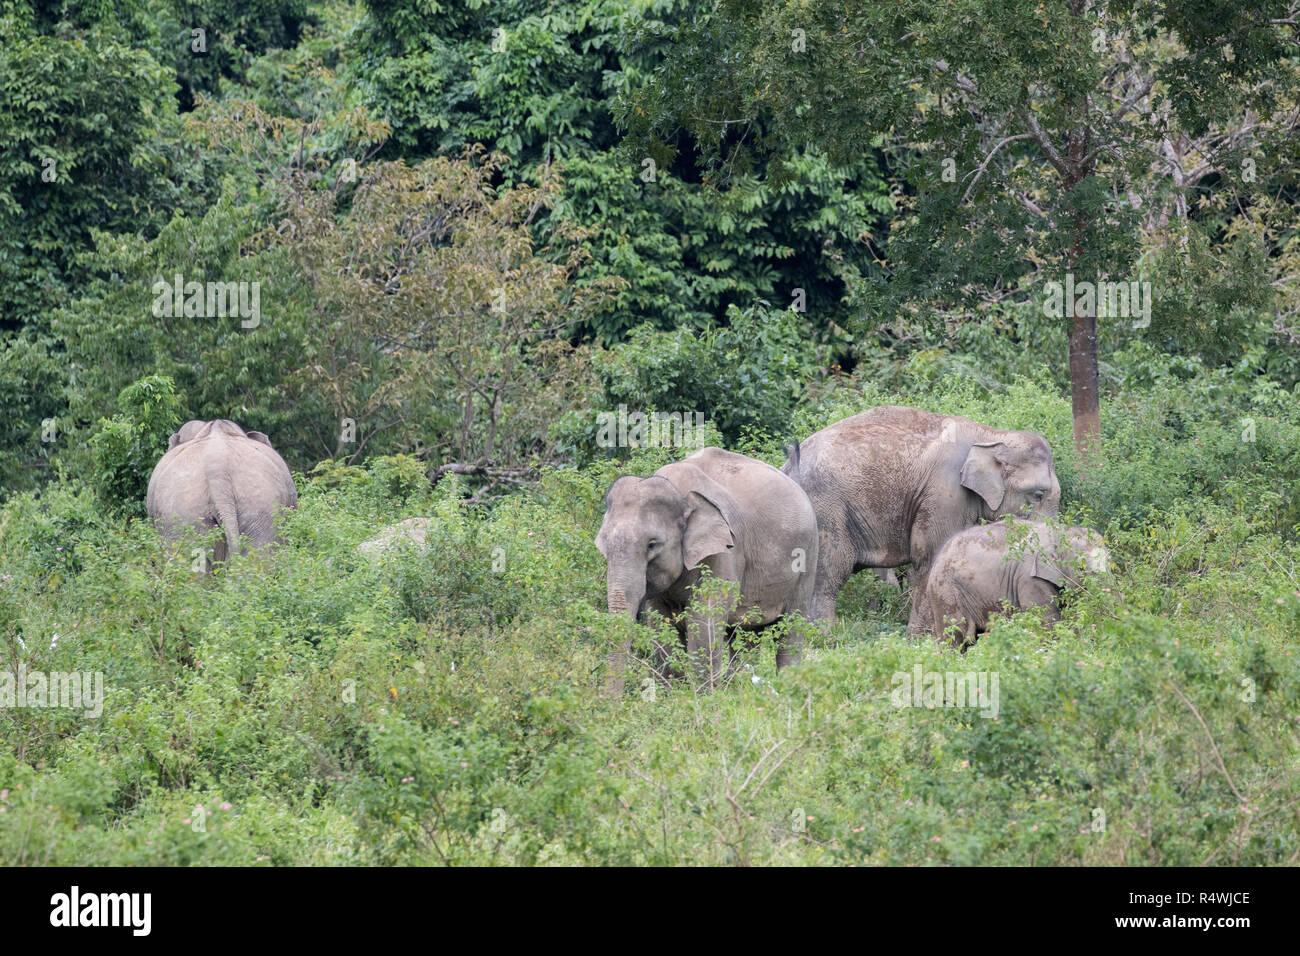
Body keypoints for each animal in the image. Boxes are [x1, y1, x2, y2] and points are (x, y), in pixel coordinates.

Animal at [595, 446, 819, 695]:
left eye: (652, 545)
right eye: (603, 545)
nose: (608, 700)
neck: (677, 489)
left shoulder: (725, 552)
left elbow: (705, 621)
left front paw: (702, 697)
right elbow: (659, 620)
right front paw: (672, 694)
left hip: (809, 555)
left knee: (791, 628)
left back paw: (790, 687)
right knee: (746, 633)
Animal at [782, 405, 1061, 632]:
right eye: (1038, 494)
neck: (990, 435)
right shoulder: (945, 494)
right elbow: (930, 555)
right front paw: (921, 638)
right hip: (826, 508)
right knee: (829, 570)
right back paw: (821, 637)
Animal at [927, 519, 1109, 650]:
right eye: (1082, 568)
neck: (1059, 531)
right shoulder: (1030, 580)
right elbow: (1046, 622)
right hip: (945, 591)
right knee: (954, 638)